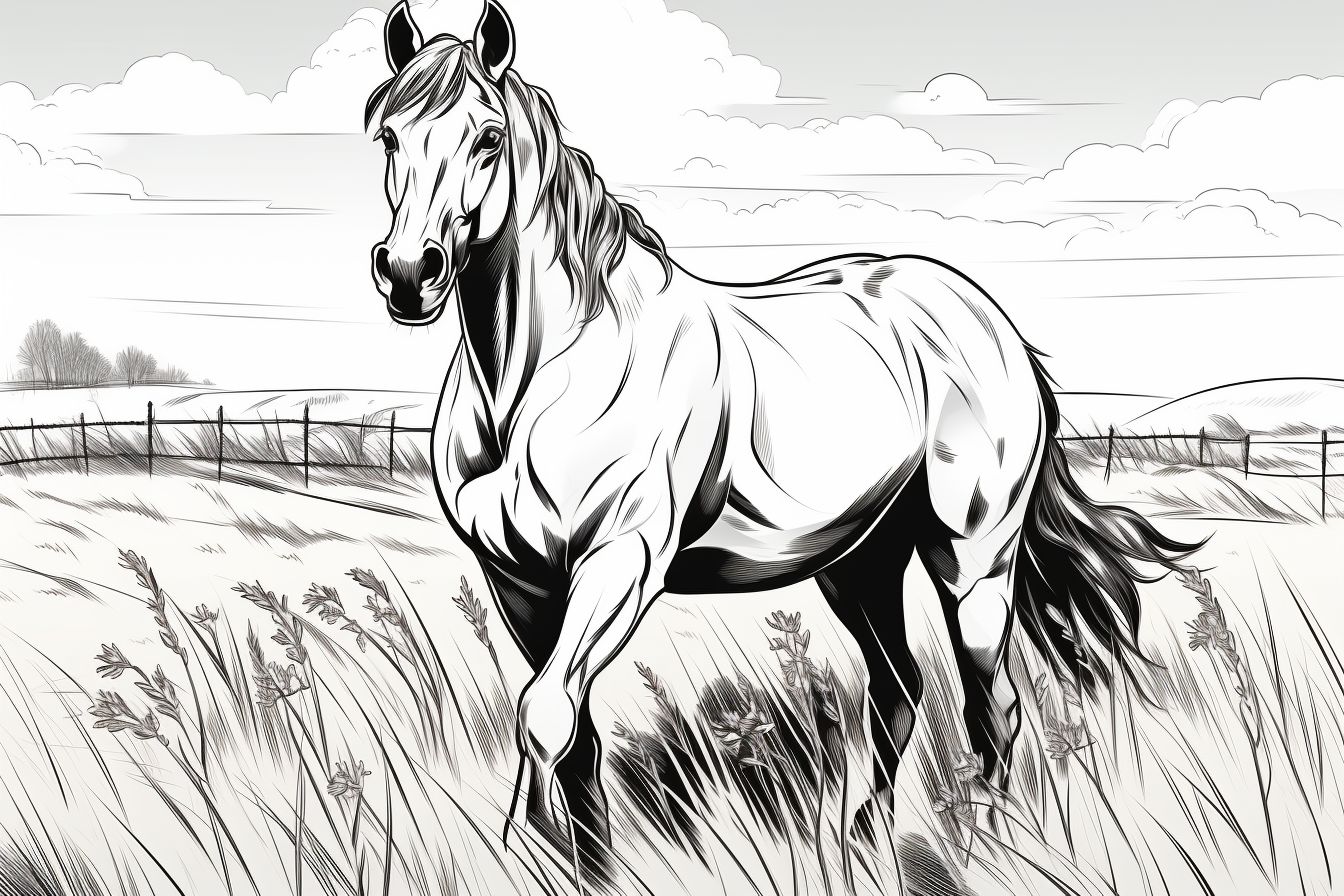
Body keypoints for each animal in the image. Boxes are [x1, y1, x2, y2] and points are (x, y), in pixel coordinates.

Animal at [365, 0, 1197, 878]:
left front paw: (525, 845)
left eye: (488, 137)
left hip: (972, 560)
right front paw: (587, 867)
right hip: (862, 563)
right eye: (387, 134)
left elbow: (548, 714)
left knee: (991, 704)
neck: (539, 377)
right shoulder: (520, 582)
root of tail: (990, 322)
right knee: (898, 692)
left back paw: (989, 846)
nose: (409, 274)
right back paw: (864, 842)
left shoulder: (621, 562)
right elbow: (577, 738)